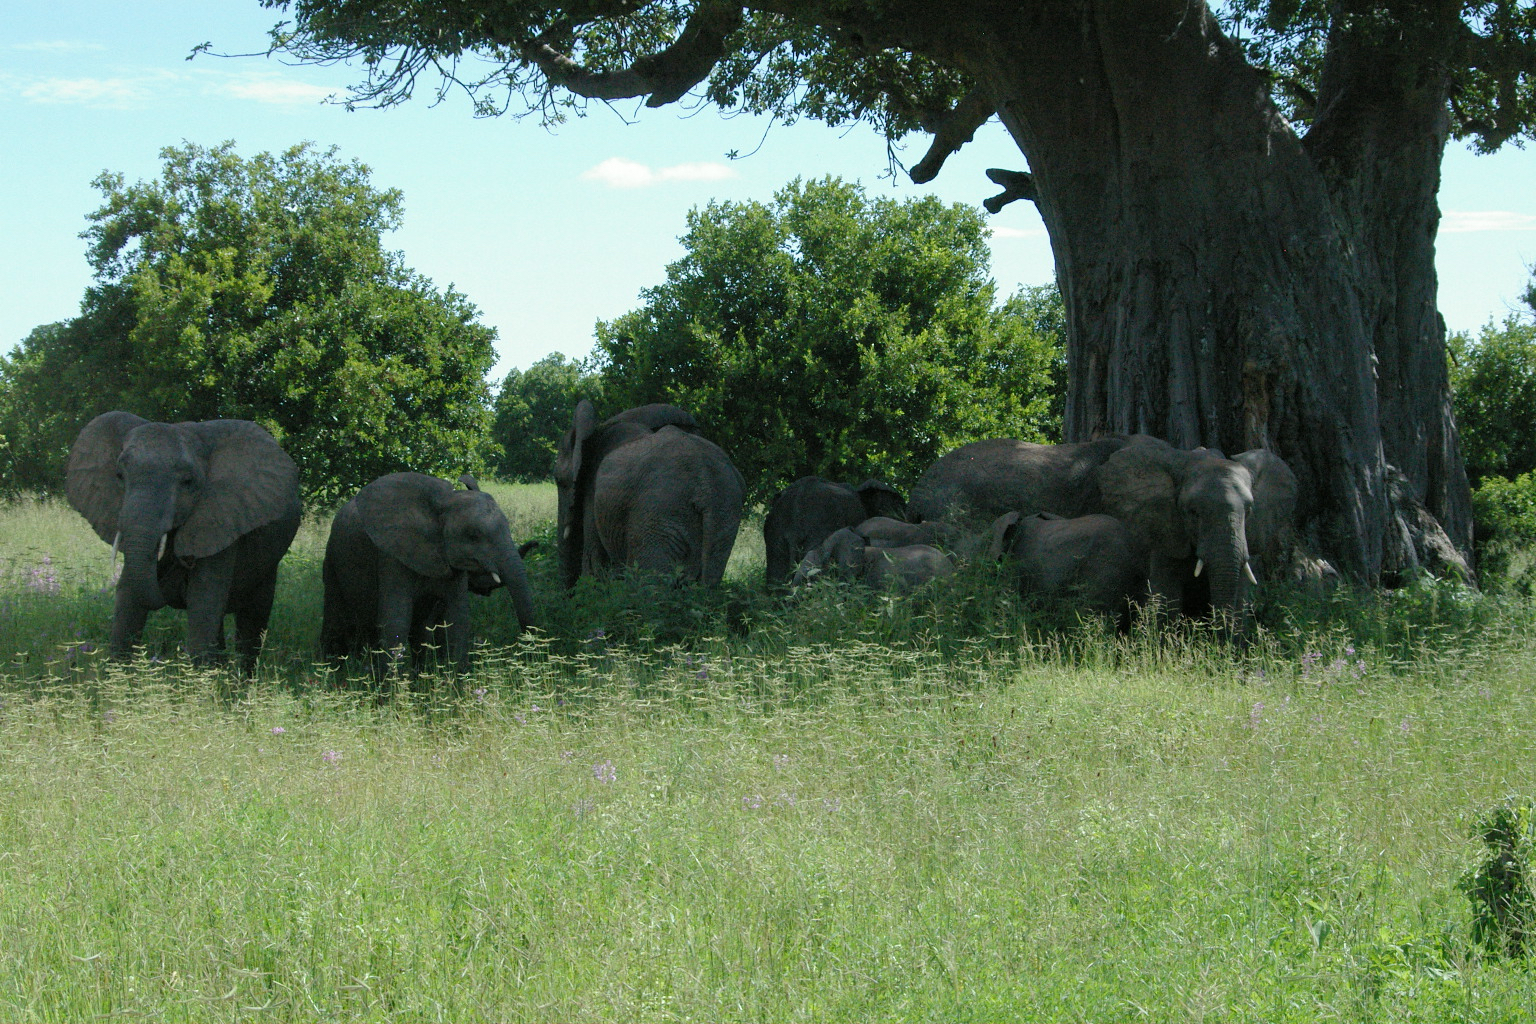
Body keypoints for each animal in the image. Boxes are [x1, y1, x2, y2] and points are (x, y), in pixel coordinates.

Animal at [65, 411, 301, 673]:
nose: (174, 581)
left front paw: (202, 681)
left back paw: (242, 677)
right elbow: (128, 595)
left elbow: (203, 600)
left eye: (188, 482)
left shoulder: (221, 518)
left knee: (253, 617)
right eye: (119, 476)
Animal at [319, 472, 537, 681]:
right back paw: (331, 673)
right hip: (332, 558)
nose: (529, 660)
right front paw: (391, 693)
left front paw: (456, 688)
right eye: (473, 536)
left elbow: (457, 618)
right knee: (335, 619)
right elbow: (396, 618)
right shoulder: (392, 556)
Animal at [556, 401, 746, 588]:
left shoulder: (594, 494)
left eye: (558, 480)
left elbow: (593, 563)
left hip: (658, 515)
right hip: (724, 517)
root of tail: (706, 482)